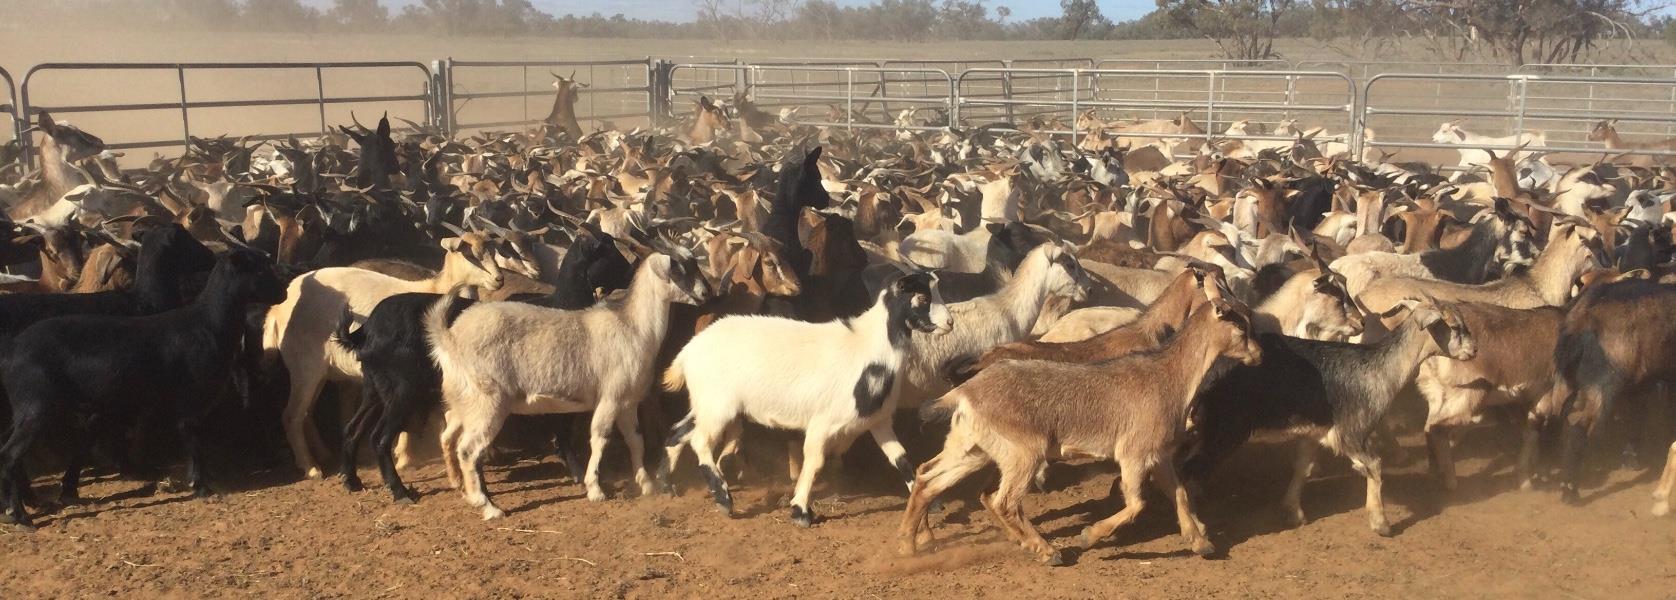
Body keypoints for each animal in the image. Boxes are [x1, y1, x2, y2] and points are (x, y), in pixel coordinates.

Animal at [0, 250, 285, 527]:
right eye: (260, 270)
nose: (283, 294)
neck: (209, 324)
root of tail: (12, 349)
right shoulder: (190, 401)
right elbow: (195, 444)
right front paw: (202, 487)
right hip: (37, 406)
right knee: (10, 456)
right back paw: (21, 516)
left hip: (22, 409)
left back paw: (21, 506)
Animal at [426, 249, 711, 519]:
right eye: (679, 269)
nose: (706, 293)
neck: (634, 328)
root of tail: (448, 337)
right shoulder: (609, 398)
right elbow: (600, 438)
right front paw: (595, 490)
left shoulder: (628, 402)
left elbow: (635, 440)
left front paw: (647, 484)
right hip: (488, 402)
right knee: (468, 450)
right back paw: (488, 506)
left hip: (465, 400)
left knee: (447, 432)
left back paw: (461, 487)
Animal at [659, 272, 952, 527]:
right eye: (922, 297)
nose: (949, 323)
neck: (872, 348)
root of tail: (687, 352)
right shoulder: (823, 422)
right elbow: (814, 462)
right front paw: (800, 511)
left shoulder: (878, 421)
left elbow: (901, 458)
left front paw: (930, 501)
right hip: (718, 405)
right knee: (700, 440)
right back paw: (723, 499)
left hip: (706, 402)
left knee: (677, 432)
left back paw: (665, 485)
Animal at [899, 299, 1262, 565]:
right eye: (1241, 325)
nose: (1259, 354)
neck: (1169, 377)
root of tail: (966, 392)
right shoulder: (1133, 454)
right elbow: (1136, 504)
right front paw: (1090, 536)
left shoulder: (1158, 457)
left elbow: (1180, 495)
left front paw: (1201, 543)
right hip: (1023, 453)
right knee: (1004, 501)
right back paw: (1047, 551)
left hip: (973, 447)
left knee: (928, 477)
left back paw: (909, 544)